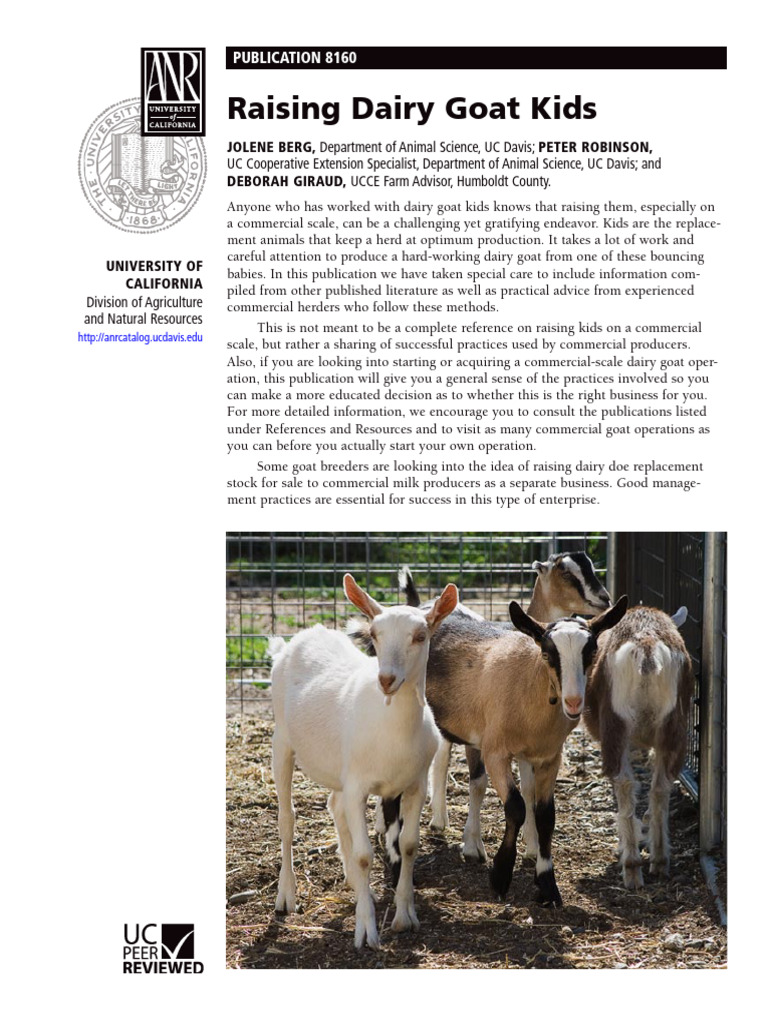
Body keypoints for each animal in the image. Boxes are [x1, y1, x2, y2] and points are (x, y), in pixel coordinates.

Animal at [269, 573, 458, 949]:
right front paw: (366, 930)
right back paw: (287, 895)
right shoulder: (358, 785)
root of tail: (296, 640)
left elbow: (409, 846)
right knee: (287, 818)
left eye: (420, 636)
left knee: (334, 804)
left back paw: (355, 885)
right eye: (374, 634)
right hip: (281, 740)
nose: (386, 679)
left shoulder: (415, 784)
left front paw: (405, 917)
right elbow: (364, 855)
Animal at [583, 605, 694, 889]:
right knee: (661, 786)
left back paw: (632, 868)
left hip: (616, 725)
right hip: (673, 725)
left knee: (624, 782)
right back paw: (660, 861)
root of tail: (647, 647)